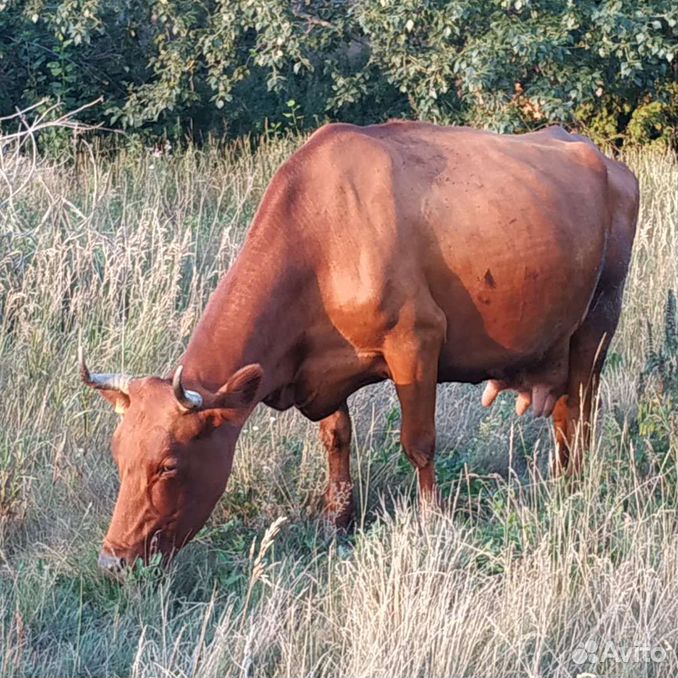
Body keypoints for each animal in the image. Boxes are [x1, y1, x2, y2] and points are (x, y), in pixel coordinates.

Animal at [81, 121, 639, 577]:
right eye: (118, 455)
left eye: (168, 465)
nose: (112, 561)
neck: (321, 240)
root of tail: (600, 156)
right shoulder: (322, 372)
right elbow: (336, 439)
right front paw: (339, 520)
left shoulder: (416, 341)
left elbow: (419, 443)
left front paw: (431, 520)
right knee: (565, 411)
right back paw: (561, 479)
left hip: (599, 320)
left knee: (583, 406)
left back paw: (575, 486)